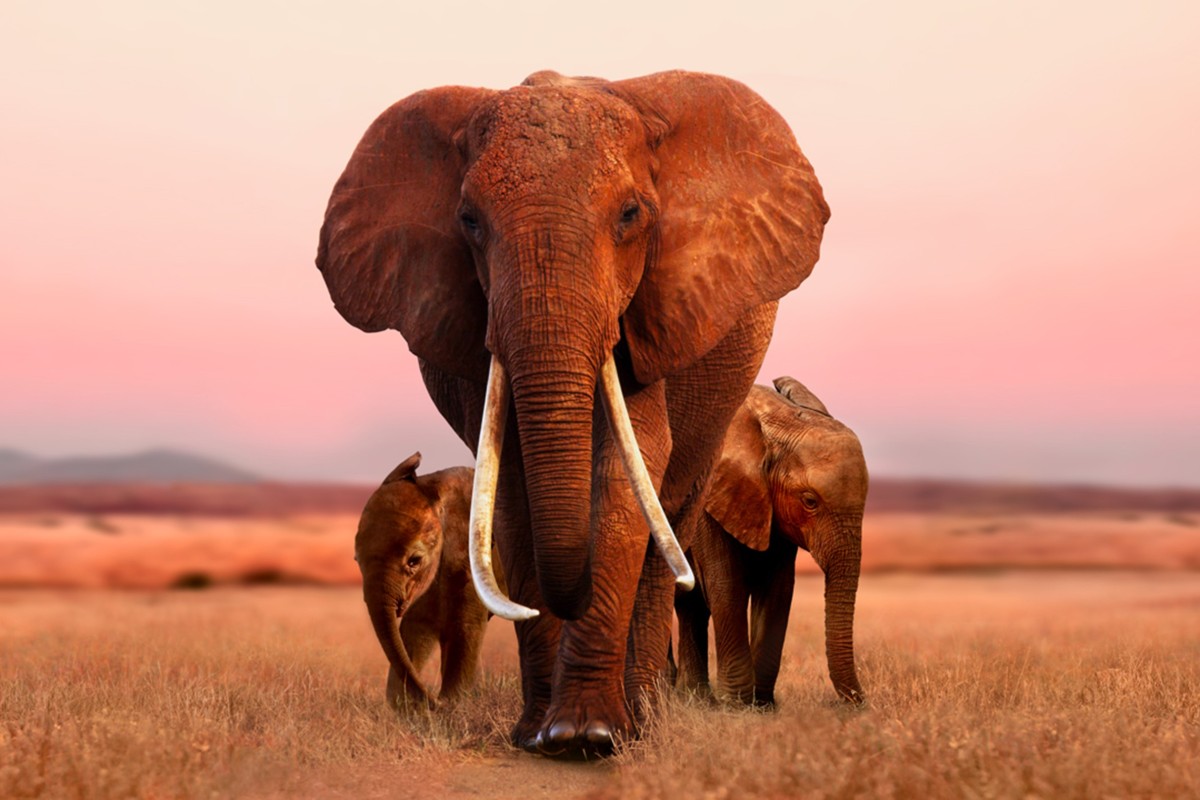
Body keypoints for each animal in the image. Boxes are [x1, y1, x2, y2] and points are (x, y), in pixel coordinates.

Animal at [355, 453, 492, 708]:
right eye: (356, 560)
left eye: (414, 561)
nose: (435, 699)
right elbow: (415, 628)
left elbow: (466, 627)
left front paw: (453, 704)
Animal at [674, 377, 867, 707]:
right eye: (810, 501)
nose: (861, 701)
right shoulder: (709, 498)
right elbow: (726, 584)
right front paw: (736, 706)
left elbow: (778, 589)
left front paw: (762, 706)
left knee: (689, 606)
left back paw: (693, 699)